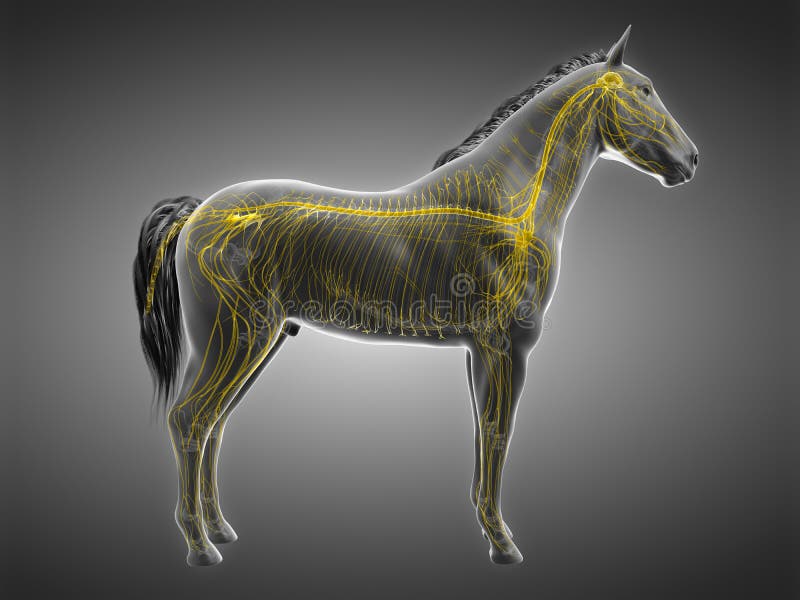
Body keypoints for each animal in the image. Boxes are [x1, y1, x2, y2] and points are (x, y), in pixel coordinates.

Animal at [133, 26, 698, 567]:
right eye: (644, 90)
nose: (691, 159)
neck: (505, 205)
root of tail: (198, 214)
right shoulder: (505, 348)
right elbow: (497, 432)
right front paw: (503, 544)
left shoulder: (480, 352)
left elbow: (483, 434)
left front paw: (491, 532)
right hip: (237, 339)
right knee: (190, 421)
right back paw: (200, 547)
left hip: (247, 344)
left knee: (214, 424)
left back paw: (219, 531)